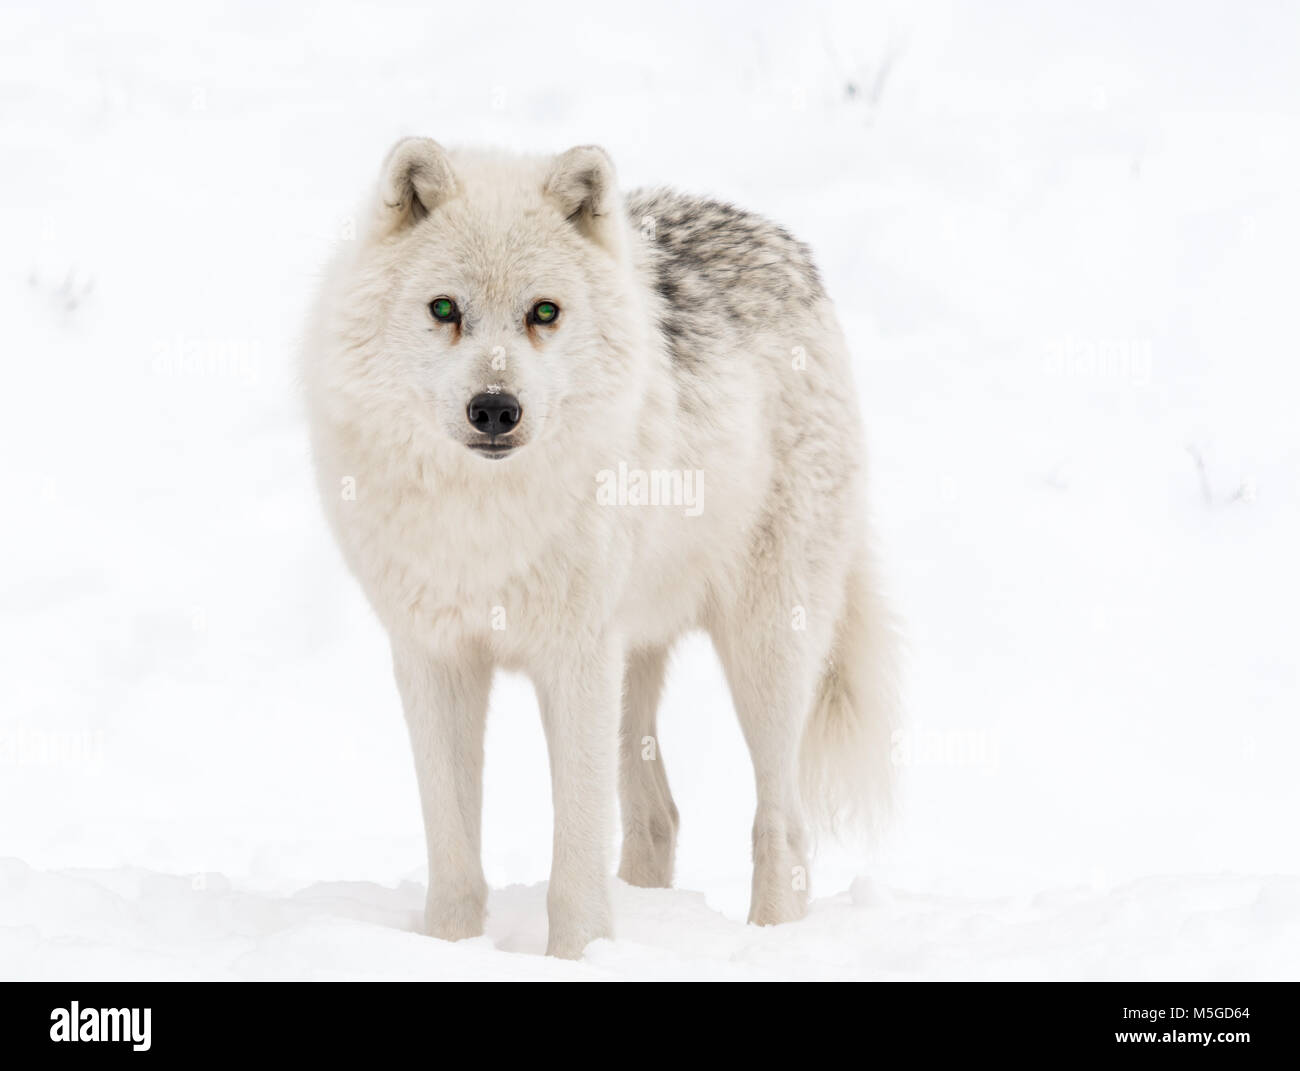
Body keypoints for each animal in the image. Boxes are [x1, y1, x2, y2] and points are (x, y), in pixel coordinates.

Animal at [303, 138, 898, 958]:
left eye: (544, 313)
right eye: (444, 309)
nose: (495, 409)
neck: (486, 514)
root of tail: (779, 240)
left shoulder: (574, 657)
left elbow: (576, 852)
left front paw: (579, 956)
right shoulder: (434, 657)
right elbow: (453, 852)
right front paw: (452, 950)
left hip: (765, 649)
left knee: (782, 824)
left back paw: (771, 939)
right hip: (633, 659)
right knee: (658, 816)